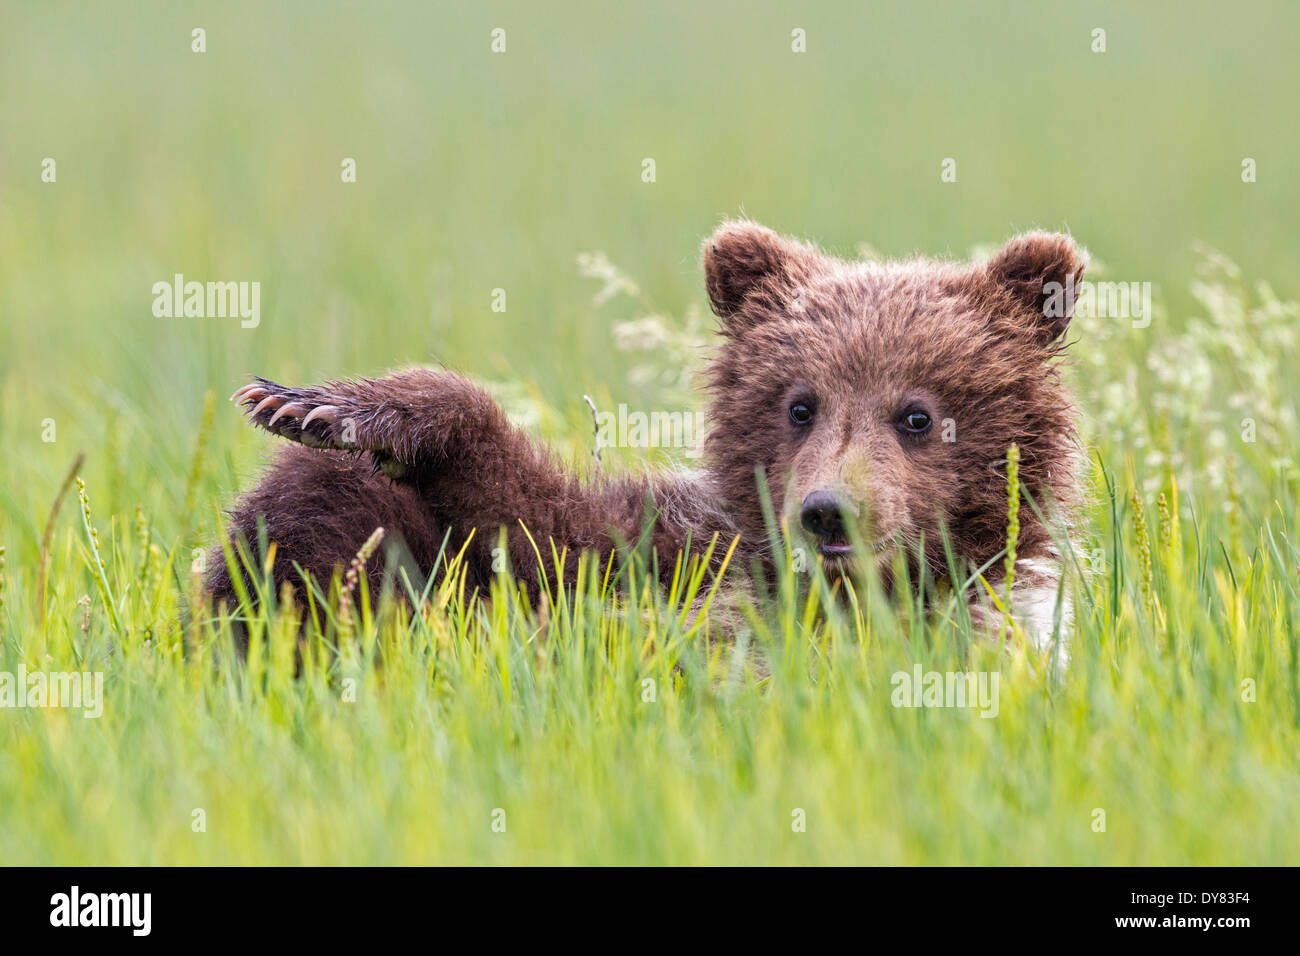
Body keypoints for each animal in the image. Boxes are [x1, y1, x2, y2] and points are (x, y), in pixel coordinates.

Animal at [207, 220, 1086, 655]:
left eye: (917, 415)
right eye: (799, 405)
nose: (829, 512)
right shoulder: (681, 549)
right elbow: (537, 527)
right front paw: (311, 406)